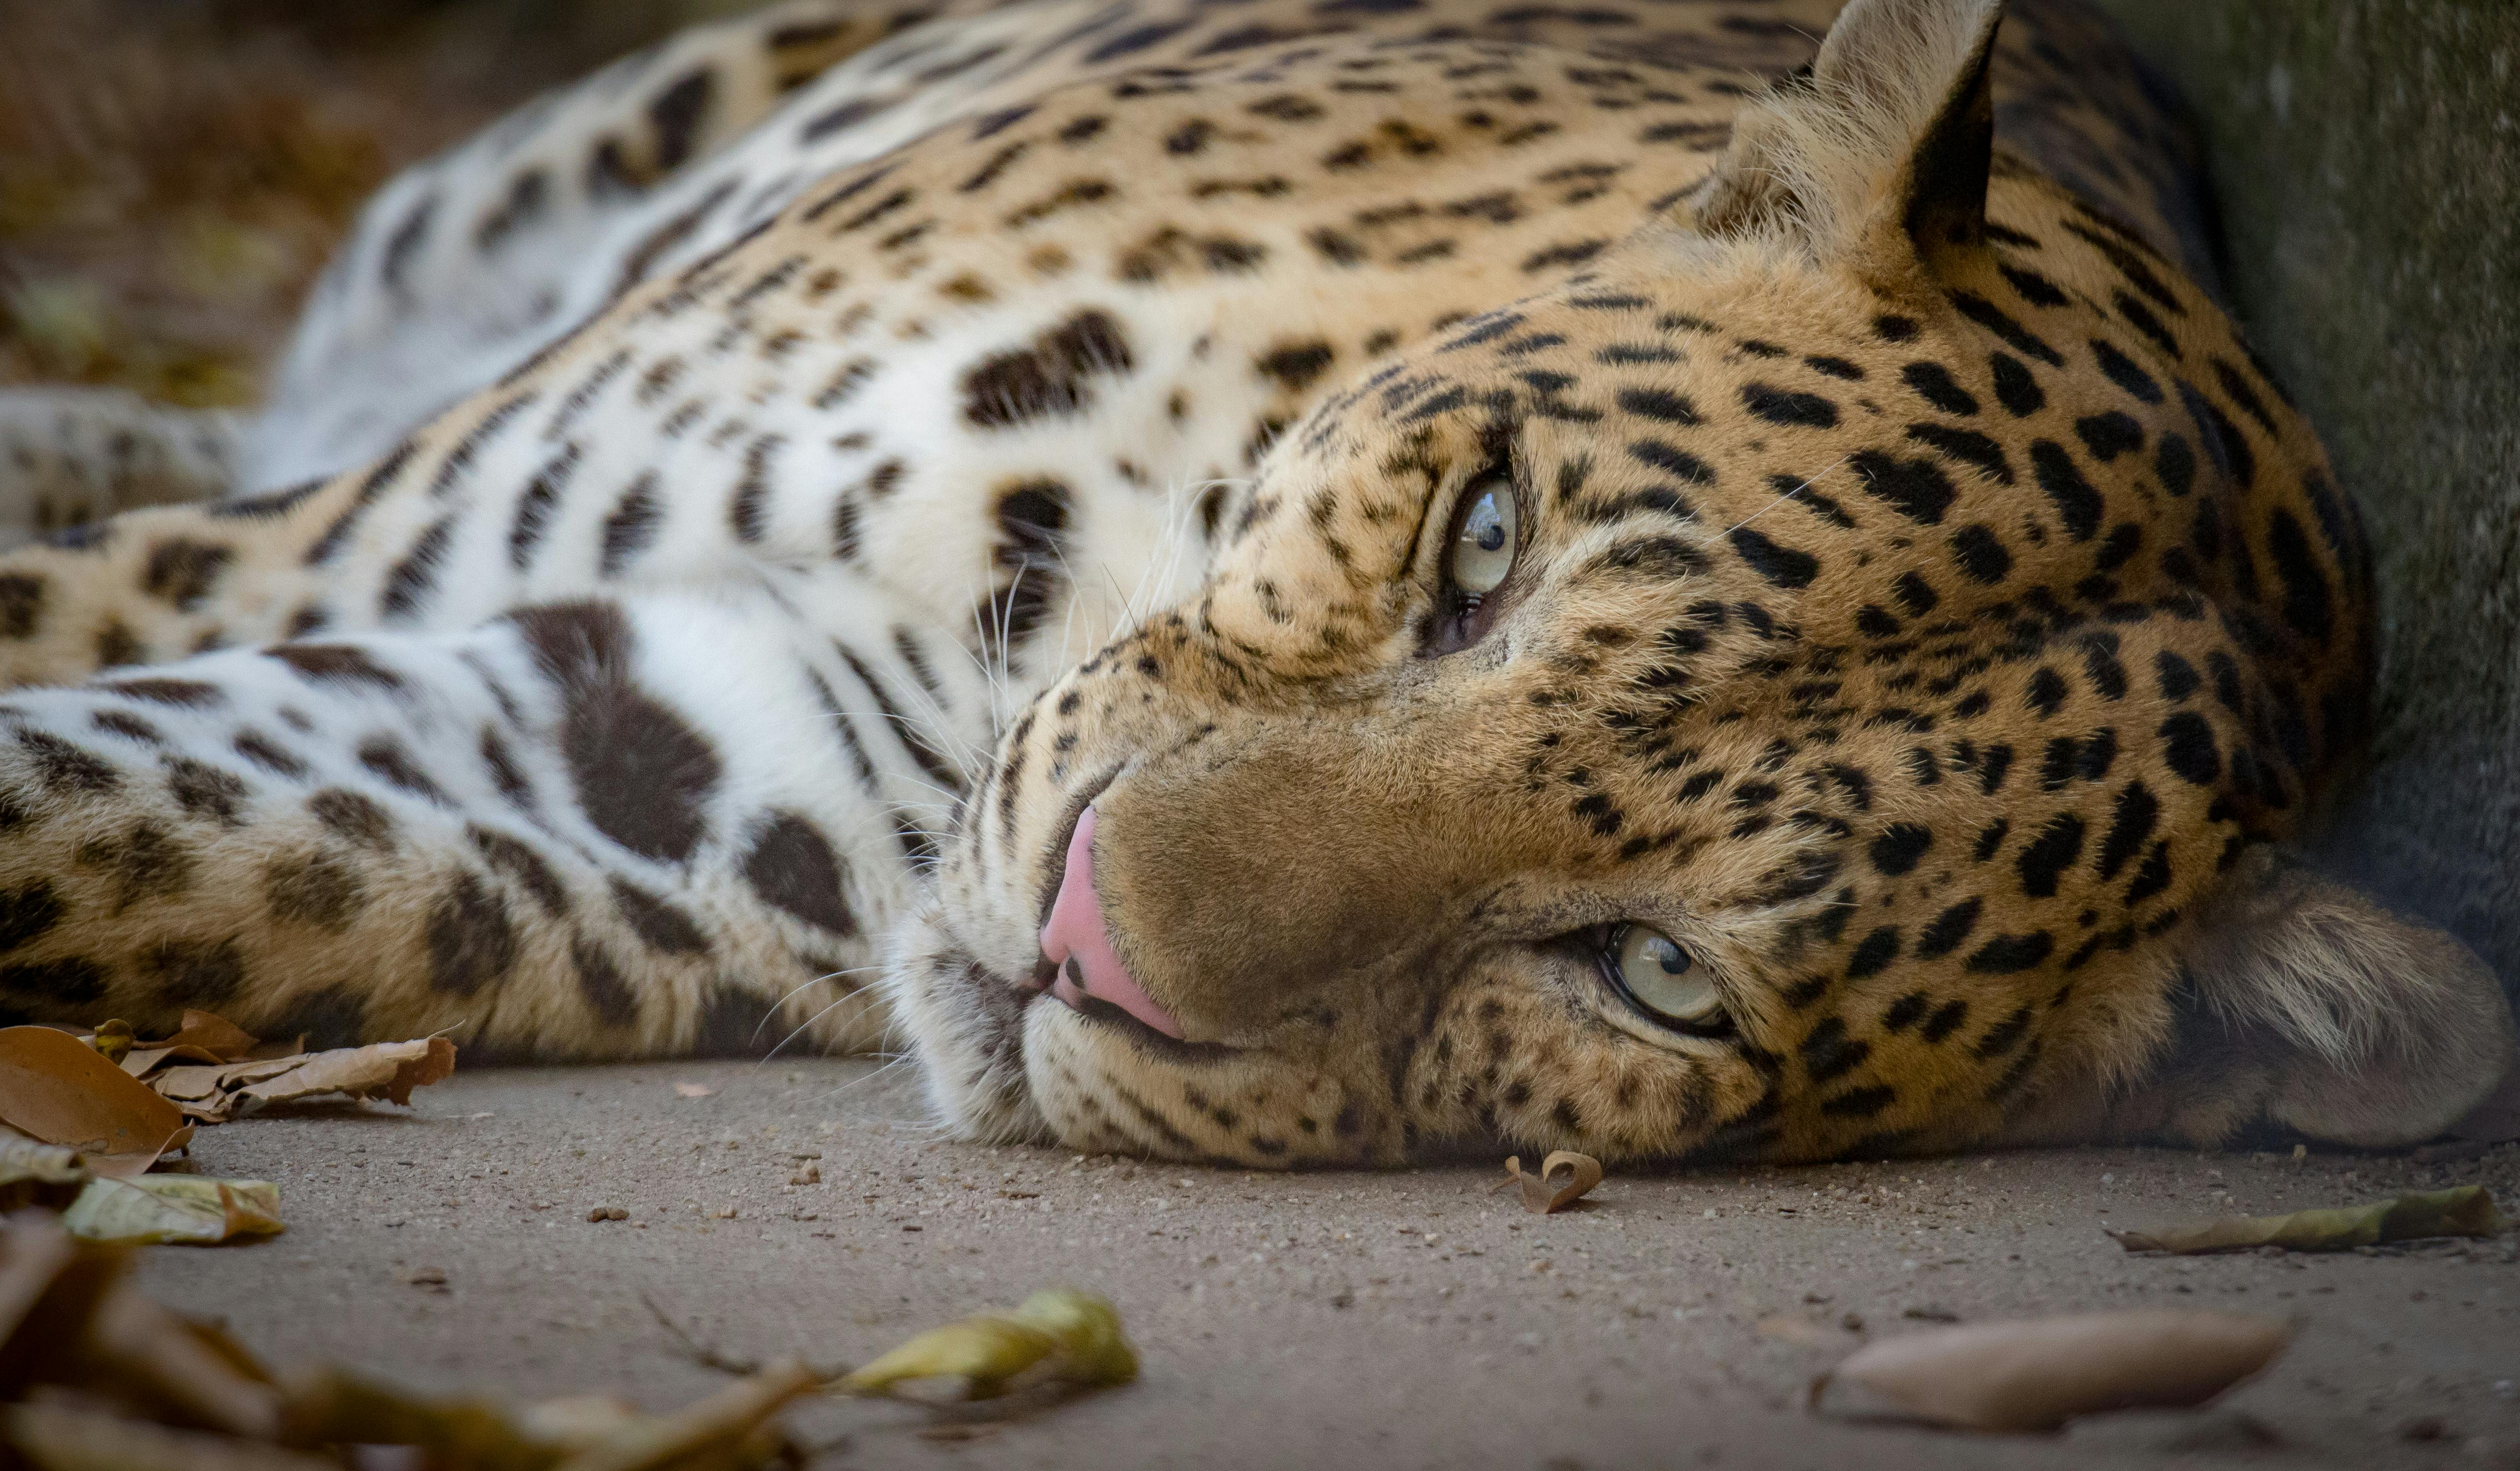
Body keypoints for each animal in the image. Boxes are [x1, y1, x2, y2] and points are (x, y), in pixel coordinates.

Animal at [0, 0, 2509, 1169]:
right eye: (1481, 540)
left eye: (1657, 980)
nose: (1082, 943)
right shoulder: (419, 526)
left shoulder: (643, 764)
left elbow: (124, 830)